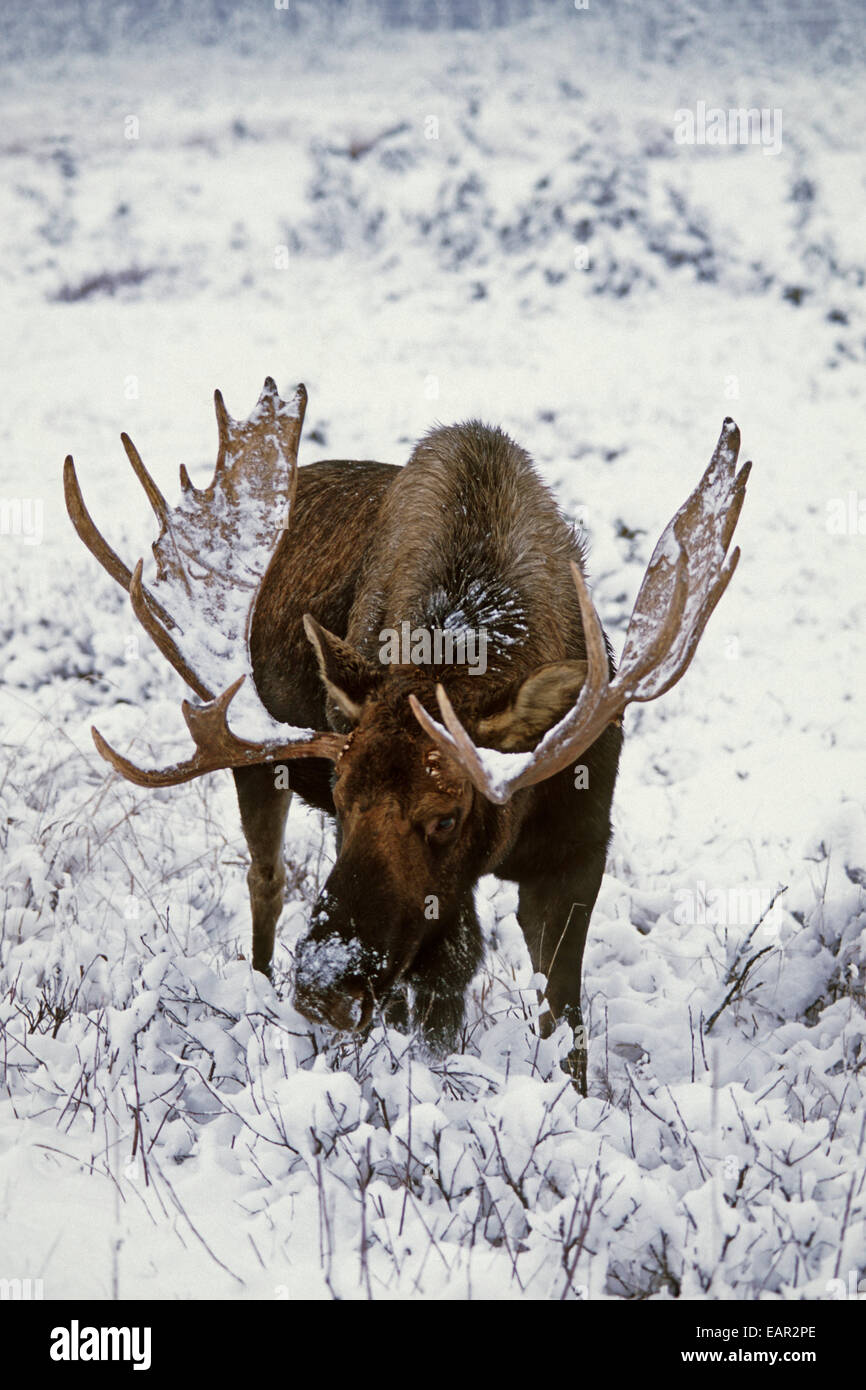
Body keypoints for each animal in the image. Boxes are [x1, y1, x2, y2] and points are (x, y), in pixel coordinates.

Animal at [63, 379, 750, 1086]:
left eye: (447, 815)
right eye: (341, 798)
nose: (324, 988)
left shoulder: (579, 846)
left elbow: (564, 1020)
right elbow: (439, 998)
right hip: (252, 759)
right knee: (266, 880)